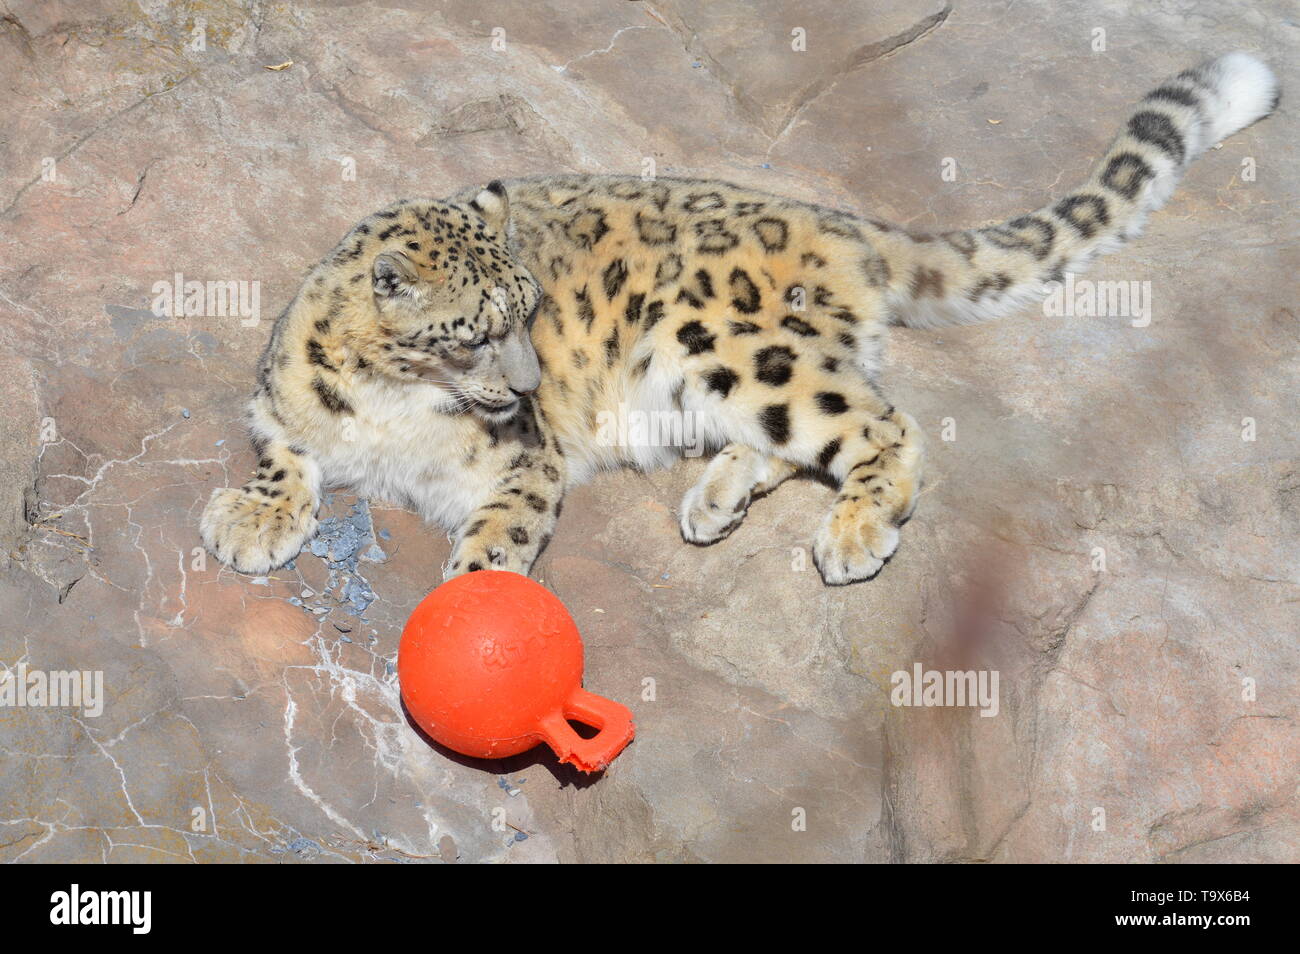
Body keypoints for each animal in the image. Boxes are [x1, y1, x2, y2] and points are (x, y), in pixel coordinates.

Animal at [200, 53, 1278, 586]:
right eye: (471, 332)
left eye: (529, 313)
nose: (526, 386)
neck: (392, 413)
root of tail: (840, 220)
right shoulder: (277, 401)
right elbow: (284, 452)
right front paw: (250, 521)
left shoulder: (524, 461)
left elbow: (502, 528)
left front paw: (473, 603)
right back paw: (715, 499)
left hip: (726, 344)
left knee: (878, 423)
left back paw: (852, 535)